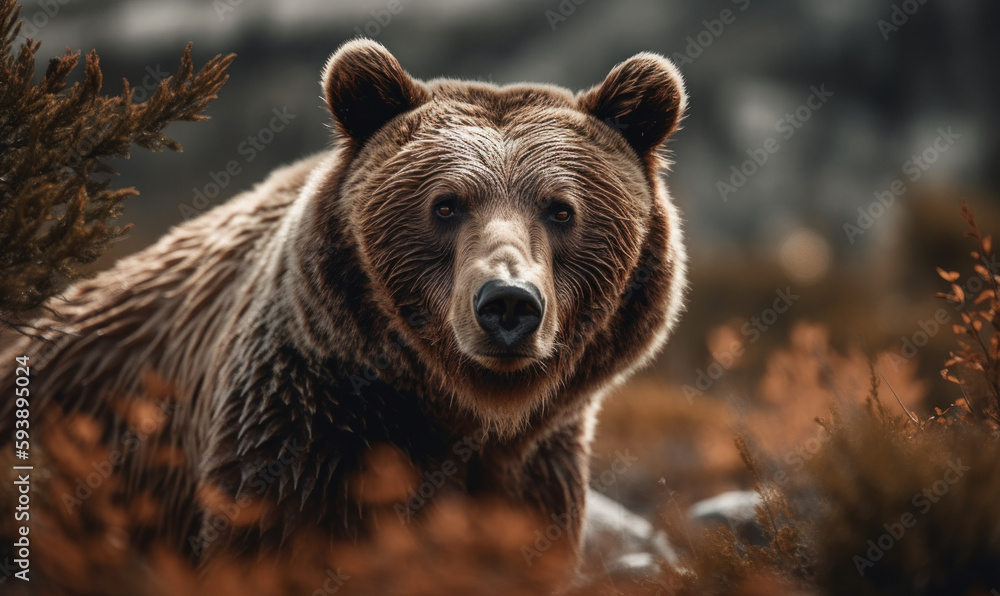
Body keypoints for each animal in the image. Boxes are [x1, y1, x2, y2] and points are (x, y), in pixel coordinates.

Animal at [0, 39, 688, 564]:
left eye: (561, 209)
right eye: (445, 205)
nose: (508, 303)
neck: (455, 414)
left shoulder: (534, 474)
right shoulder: (301, 436)